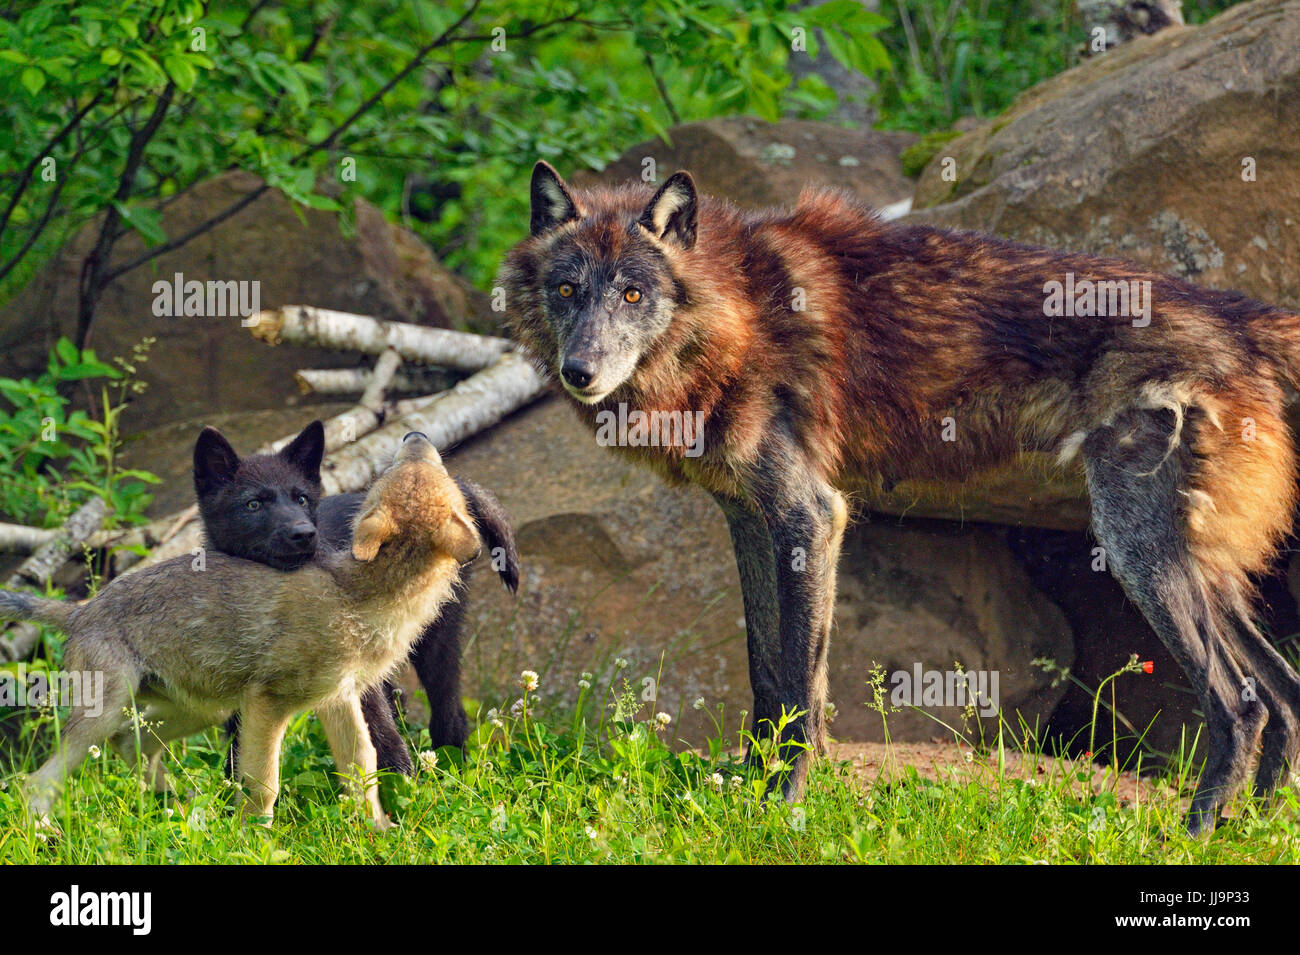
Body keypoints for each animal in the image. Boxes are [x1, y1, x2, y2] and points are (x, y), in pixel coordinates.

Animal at [2, 432, 479, 829]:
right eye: (398, 470)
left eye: (431, 471)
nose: (415, 434)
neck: (361, 597)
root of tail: (79, 612)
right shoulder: (271, 703)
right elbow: (265, 783)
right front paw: (255, 840)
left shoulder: (337, 699)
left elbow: (363, 769)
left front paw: (379, 831)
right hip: (108, 712)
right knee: (35, 782)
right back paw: (46, 833)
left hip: (200, 709)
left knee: (132, 745)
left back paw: (183, 811)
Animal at [193, 421, 519, 774]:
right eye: (253, 504)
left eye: (302, 499)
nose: (304, 534)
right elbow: (242, 749)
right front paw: (234, 789)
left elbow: (380, 734)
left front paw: (400, 782)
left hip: (434, 637)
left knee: (448, 711)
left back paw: (450, 767)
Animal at [501, 160, 1300, 834]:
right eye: (567, 290)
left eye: (633, 293)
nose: (578, 372)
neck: (736, 314)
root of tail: (1237, 316)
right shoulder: (749, 520)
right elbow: (766, 672)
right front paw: (747, 788)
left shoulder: (812, 516)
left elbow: (801, 685)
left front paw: (787, 803)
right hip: (1199, 568)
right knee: (1285, 692)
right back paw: (1257, 827)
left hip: (1138, 552)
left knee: (1242, 704)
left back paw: (1193, 834)